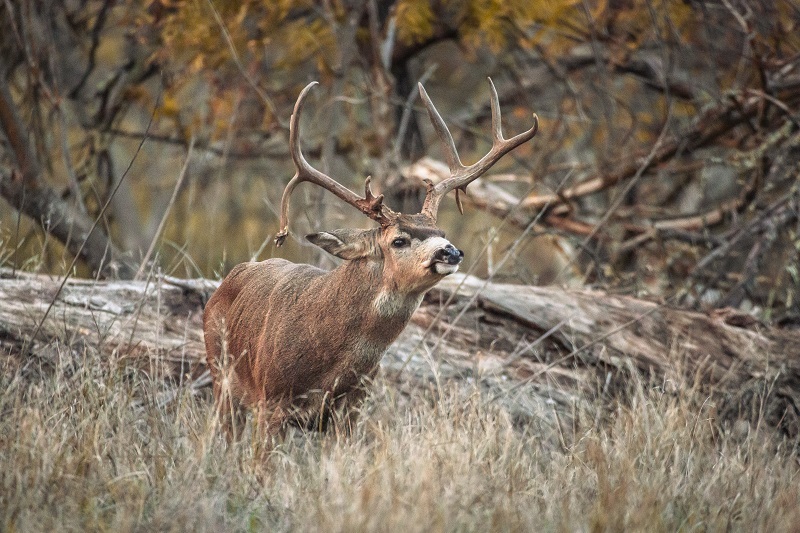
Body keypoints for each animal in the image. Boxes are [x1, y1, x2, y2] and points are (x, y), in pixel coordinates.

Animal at [203, 78, 538, 440]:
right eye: (398, 240)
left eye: (442, 231)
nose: (450, 251)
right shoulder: (271, 398)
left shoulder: (352, 408)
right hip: (221, 375)